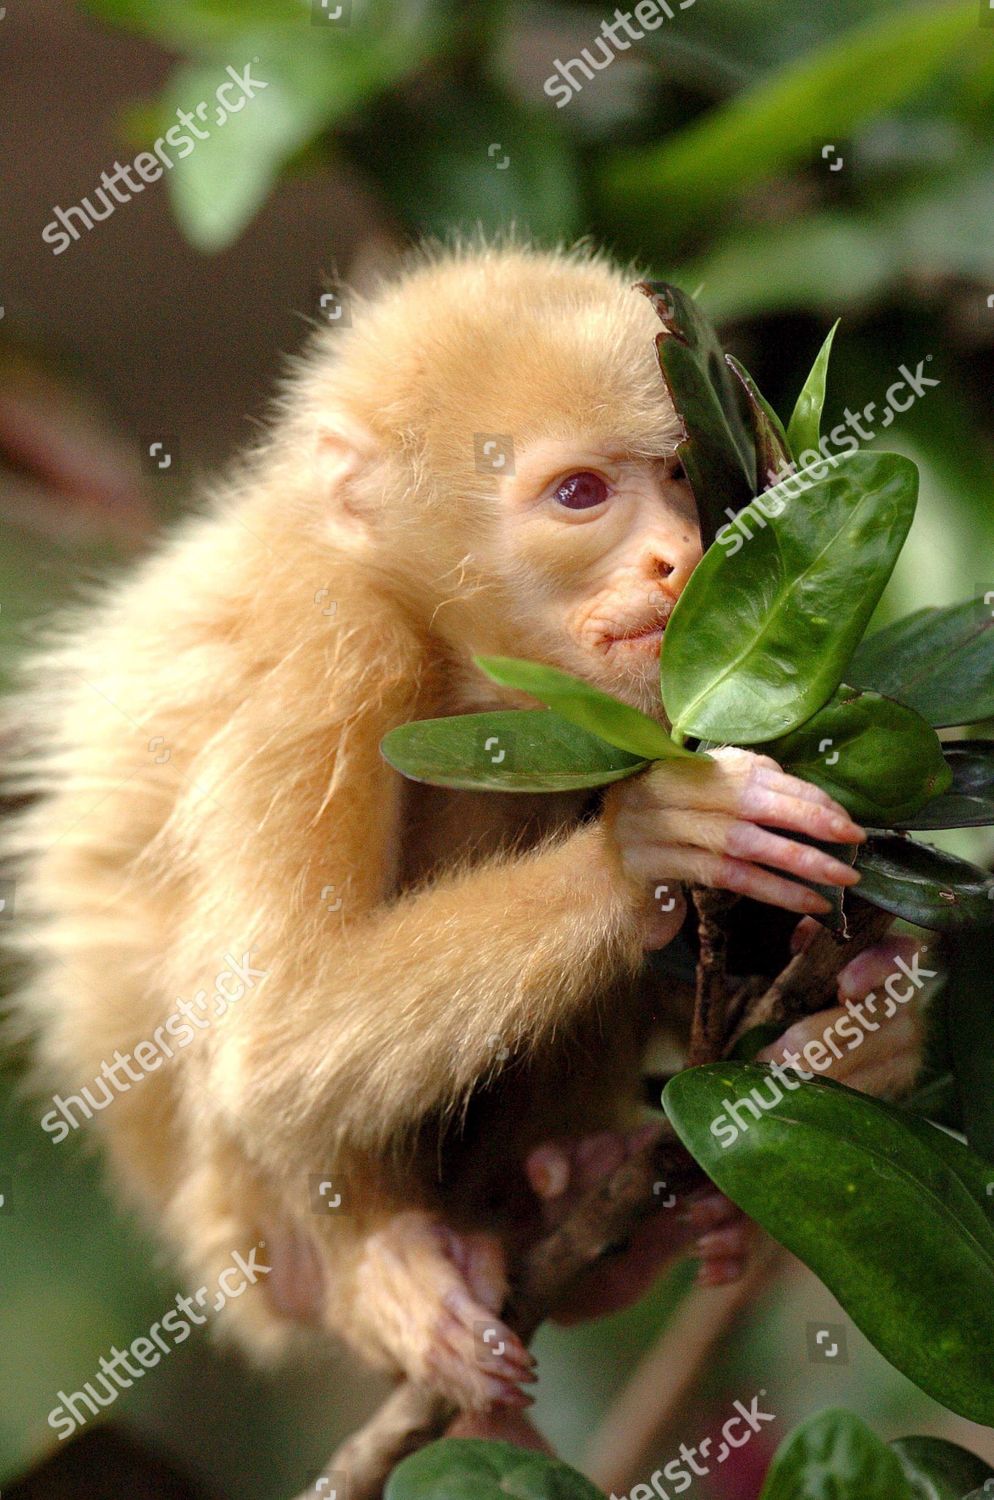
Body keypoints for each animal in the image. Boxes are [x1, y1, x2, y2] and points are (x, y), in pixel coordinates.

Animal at [3, 242, 926, 1425]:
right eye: (581, 494)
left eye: (680, 477)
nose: (678, 562)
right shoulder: (330, 648)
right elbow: (270, 1032)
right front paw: (646, 846)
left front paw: (877, 1017)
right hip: (237, 1235)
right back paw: (380, 1270)